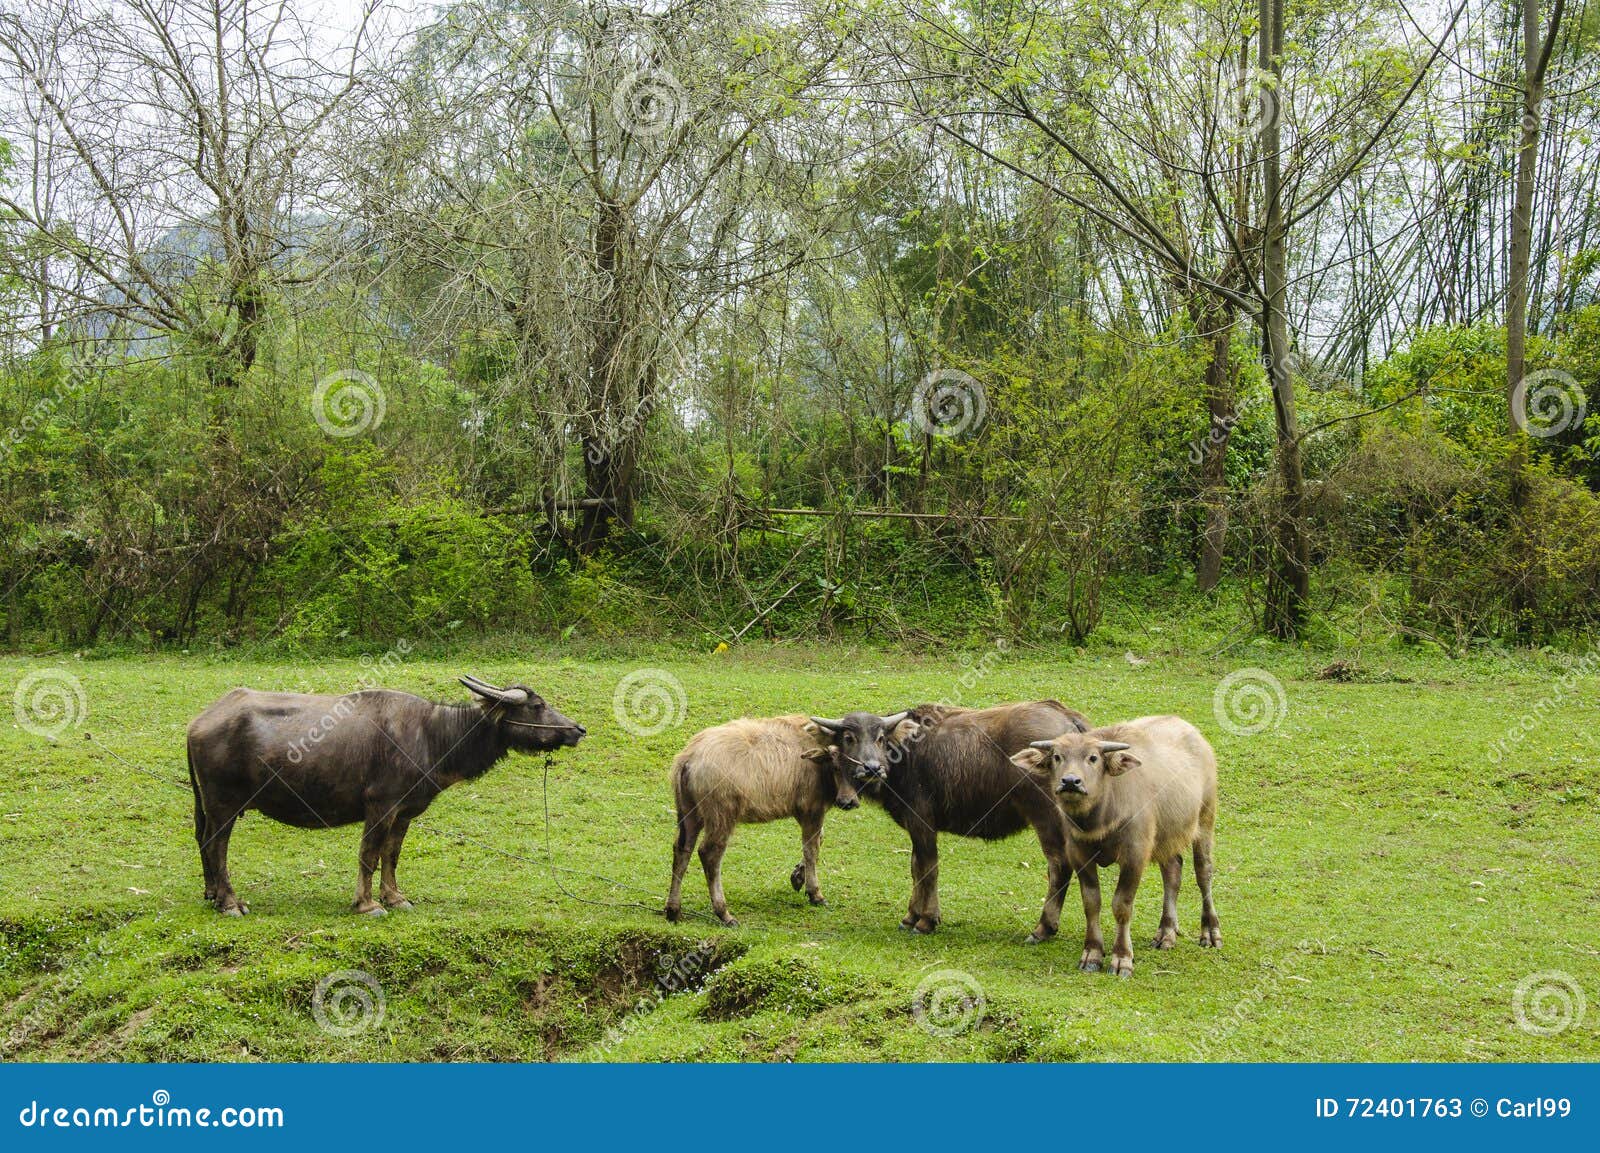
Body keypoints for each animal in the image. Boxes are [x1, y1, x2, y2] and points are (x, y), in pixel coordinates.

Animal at [185, 675, 586, 915]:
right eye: (536, 706)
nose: (577, 729)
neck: (432, 735)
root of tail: (199, 722)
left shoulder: (404, 812)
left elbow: (391, 855)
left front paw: (394, 897)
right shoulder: (380, 806)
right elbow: (369, 854)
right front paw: (366, 904)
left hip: (207, 805)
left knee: (203, 839)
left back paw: (212, 894)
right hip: (224, 804)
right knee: (216, 845)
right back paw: (230, 901)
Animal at [664, 713, 893, 926]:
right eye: (836, 765)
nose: (848, 802)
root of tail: (689, 758)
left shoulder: (803, 813)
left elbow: (819, 840)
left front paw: (798, 876)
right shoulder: (812, 810)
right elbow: (811, 849)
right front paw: (815, 893)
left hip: (689, 814)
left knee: (682, 850)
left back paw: (673, 909)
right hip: (721, 818)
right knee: (709, 854)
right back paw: (724, 913)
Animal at [808, 700, 1089, 940]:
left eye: (879, 738)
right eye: (849, 738)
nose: (872, 768)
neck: (906, 755)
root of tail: (1069, 720)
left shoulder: (922, 822)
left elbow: (928, 868)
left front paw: (926, 920)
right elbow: (915, 867)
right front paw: (910, 916)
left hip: (1045, 817)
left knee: (1059, 866)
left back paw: (1043, 928)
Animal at [1009, 715, 1220, 977]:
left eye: (1093, 757)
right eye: (1057, 756)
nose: (1070, 781)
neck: (1103, 814)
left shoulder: (1134, 855)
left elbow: (1121, 905)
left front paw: (1122, 958)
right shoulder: (1079, 855)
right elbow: (1091, 903)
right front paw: (1092, 954)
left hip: (1205, 819)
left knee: (1203, 872)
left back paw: (1210, 932)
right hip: (1165, 836)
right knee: (1173, 870)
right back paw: (1166, 933)